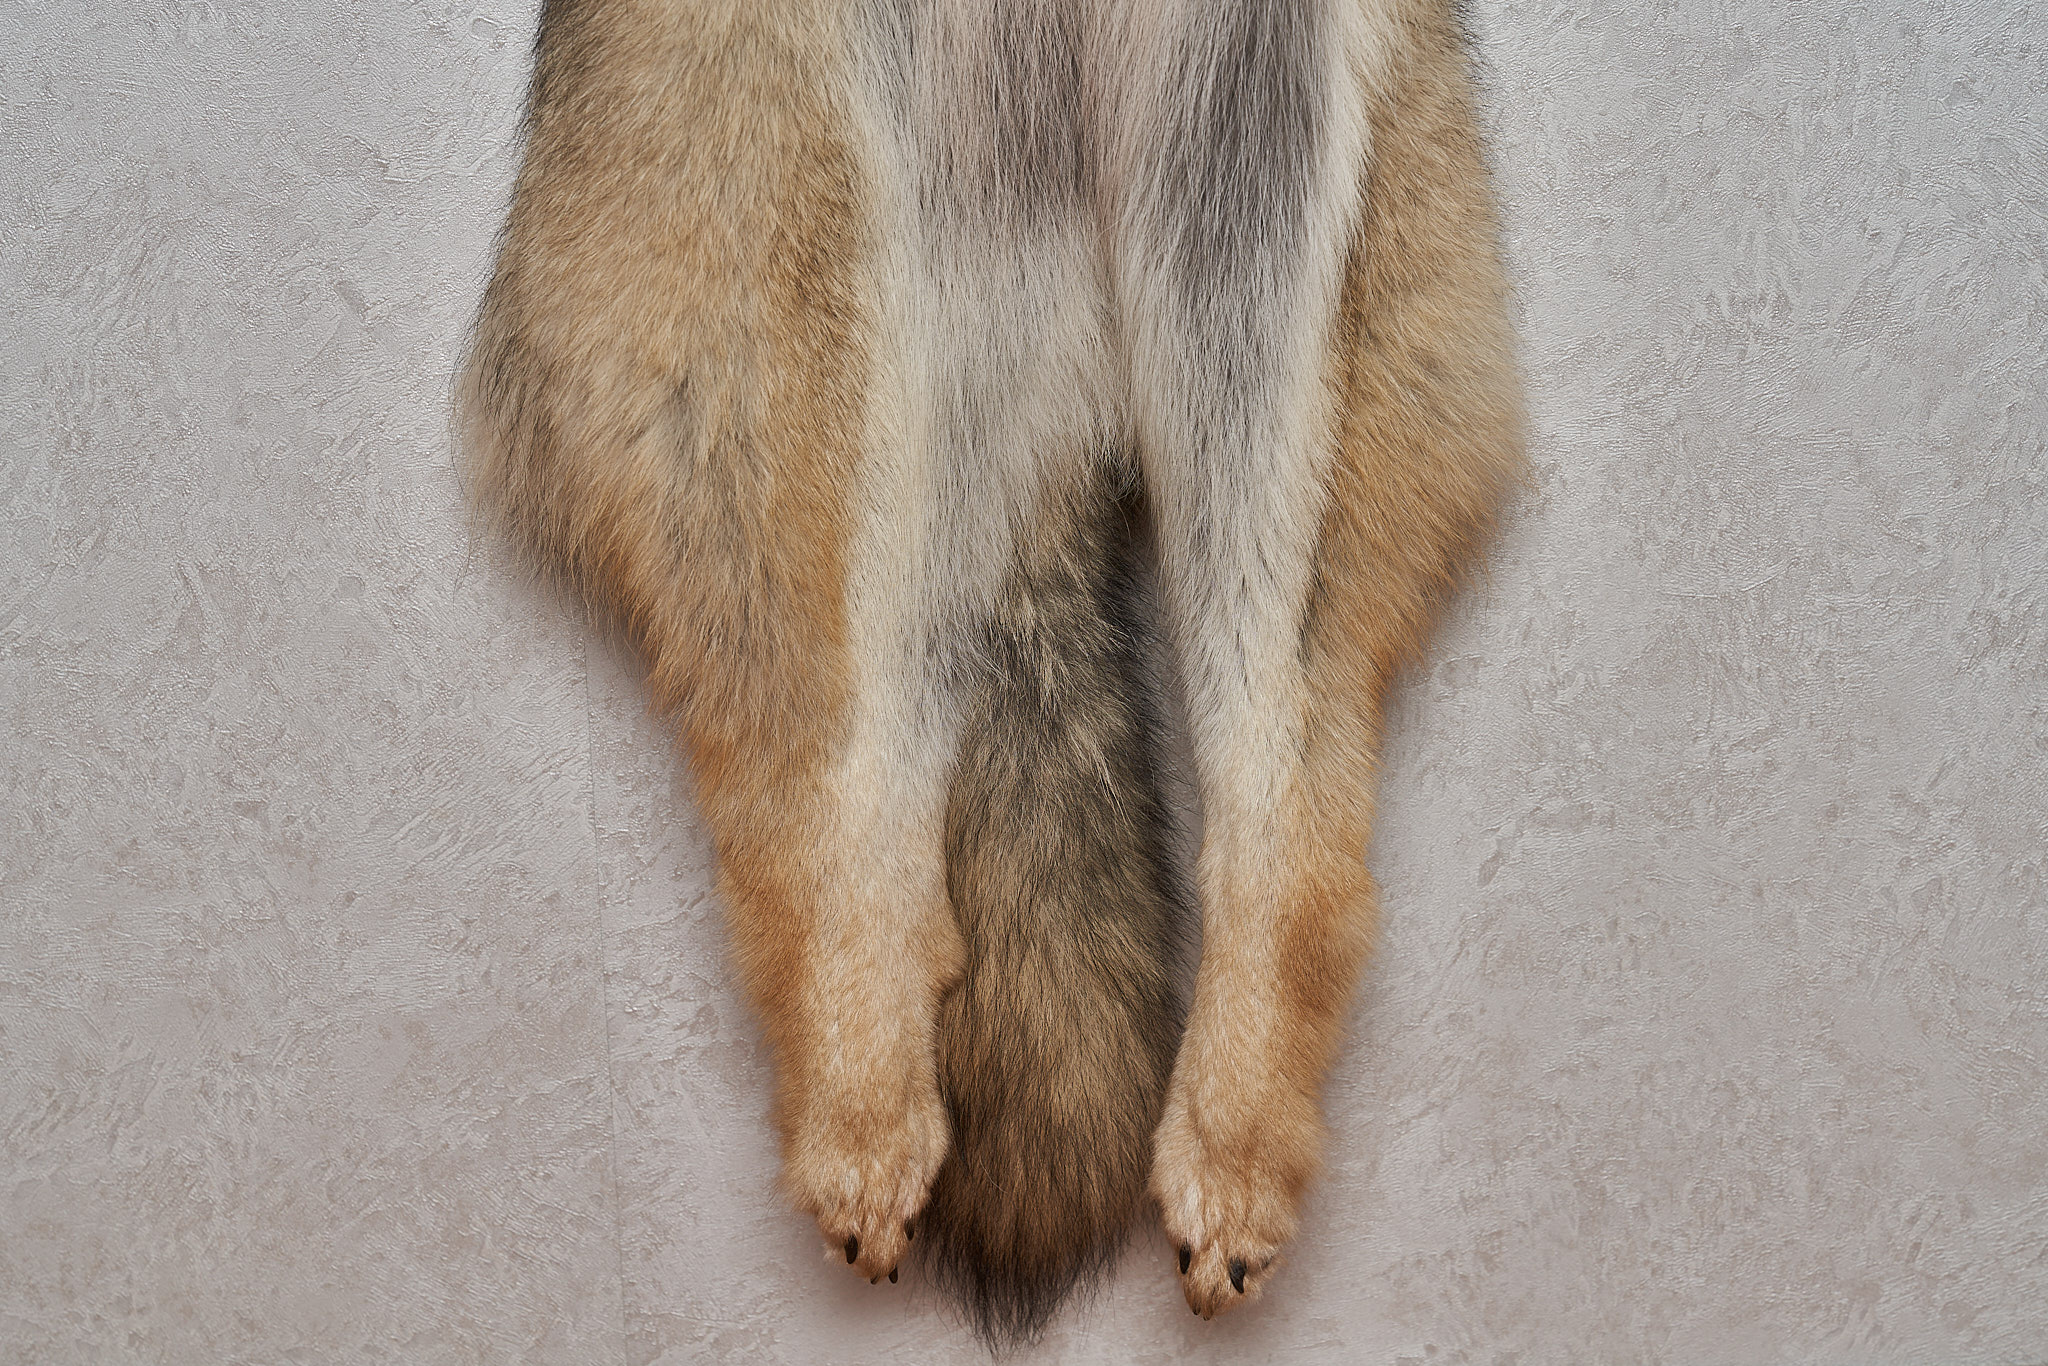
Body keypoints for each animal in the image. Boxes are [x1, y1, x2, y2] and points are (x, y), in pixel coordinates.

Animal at [460, 0, 1522, 1341]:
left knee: (834, 816)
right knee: (1288, 836)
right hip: (1237, 329)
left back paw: (866, 1141)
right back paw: (1224, 1164)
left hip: (800, 357)